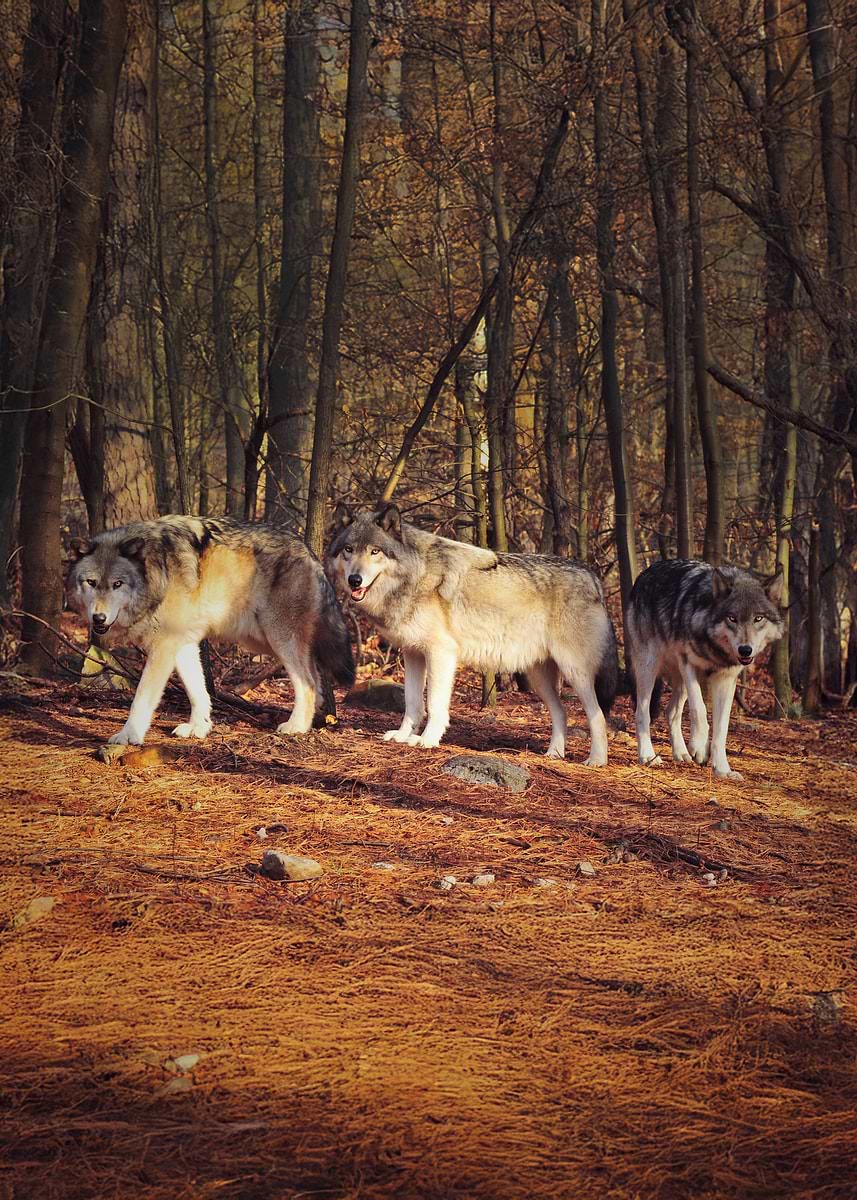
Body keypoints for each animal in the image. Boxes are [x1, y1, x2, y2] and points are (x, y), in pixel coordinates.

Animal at [67, 515, 355, 746]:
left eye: (118, 584)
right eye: (91, 582)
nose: (99, 618)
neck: (157, 574)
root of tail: (309, 551)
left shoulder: (164, 646)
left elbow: (141, 697)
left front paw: (129, 735)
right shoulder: (183, 644)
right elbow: (198, 690)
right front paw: (199, 727)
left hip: (277, 638)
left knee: (307, 683)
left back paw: (296, 727)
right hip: (269, 640)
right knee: (316, 679)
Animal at [326, 504, 619, 764]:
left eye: (374, 551)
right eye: (349, 550)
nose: (355, 580)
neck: (415, 575)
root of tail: (593, 577)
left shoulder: (441, 653)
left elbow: (434, 704)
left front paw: (427, 740)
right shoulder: (412, 653)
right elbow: (412, 703)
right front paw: (402, 735)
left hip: (574, 672)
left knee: (597, 716)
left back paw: (596, 760)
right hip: (539, 679)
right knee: (561, 714)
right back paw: (554, 754)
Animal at [627, 559, 784, 779]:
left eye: (758, 618)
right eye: (732, 618)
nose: (745, 650)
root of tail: (646, 572)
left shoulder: (726, 680)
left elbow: (721, 729)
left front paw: (722, 769)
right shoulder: (689, 665)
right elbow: (700, 710)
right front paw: (700, 748)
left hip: (679, 680)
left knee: (671, 711)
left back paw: (681, 753)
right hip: (649, 667)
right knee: (642, 712)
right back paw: (648, 756)